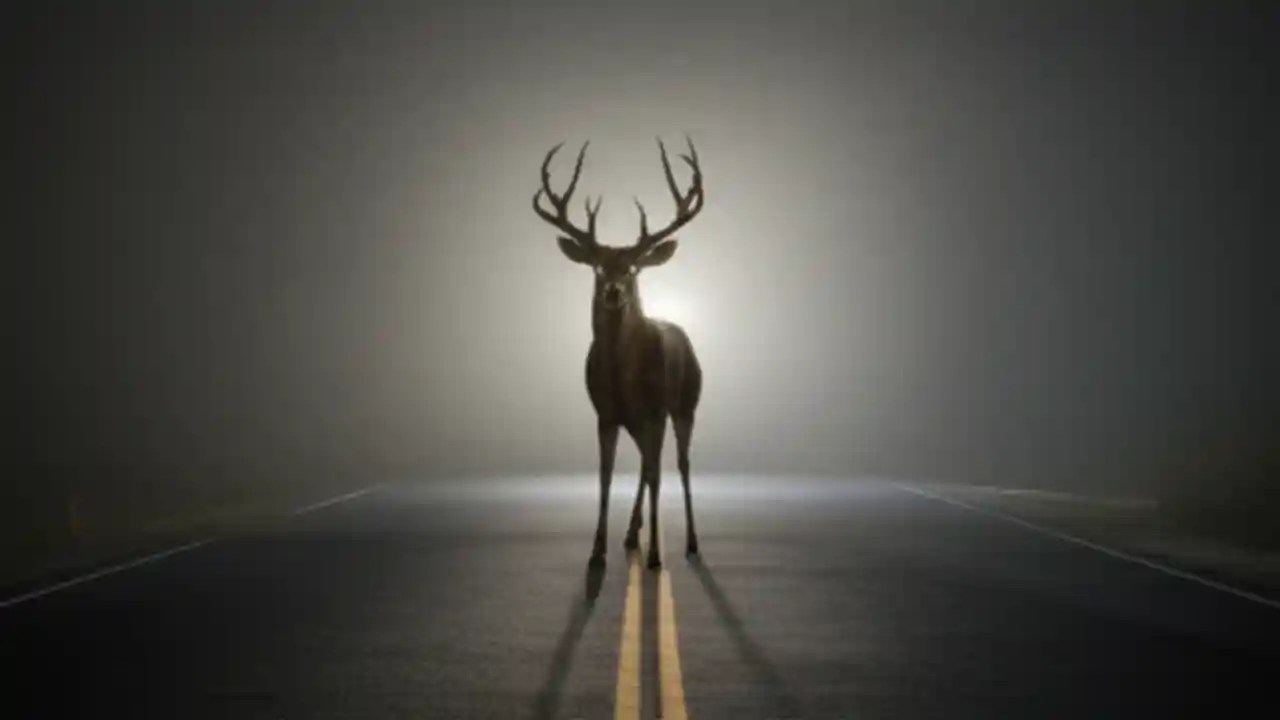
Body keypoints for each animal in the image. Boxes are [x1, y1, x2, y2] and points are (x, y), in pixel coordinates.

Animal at [533, 137, 706, 570]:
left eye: (633, 269)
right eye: (597, 267)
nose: (614, 291)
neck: (622, 376)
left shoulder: (656, 410)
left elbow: (659, 474)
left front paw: (657, 555)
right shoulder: (605, 414)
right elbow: (606, 474)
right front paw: (597, 552)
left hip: (686, 404)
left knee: (679, 464)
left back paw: (691, 542)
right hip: (639, 421)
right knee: (645, 465)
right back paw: (631, 534)